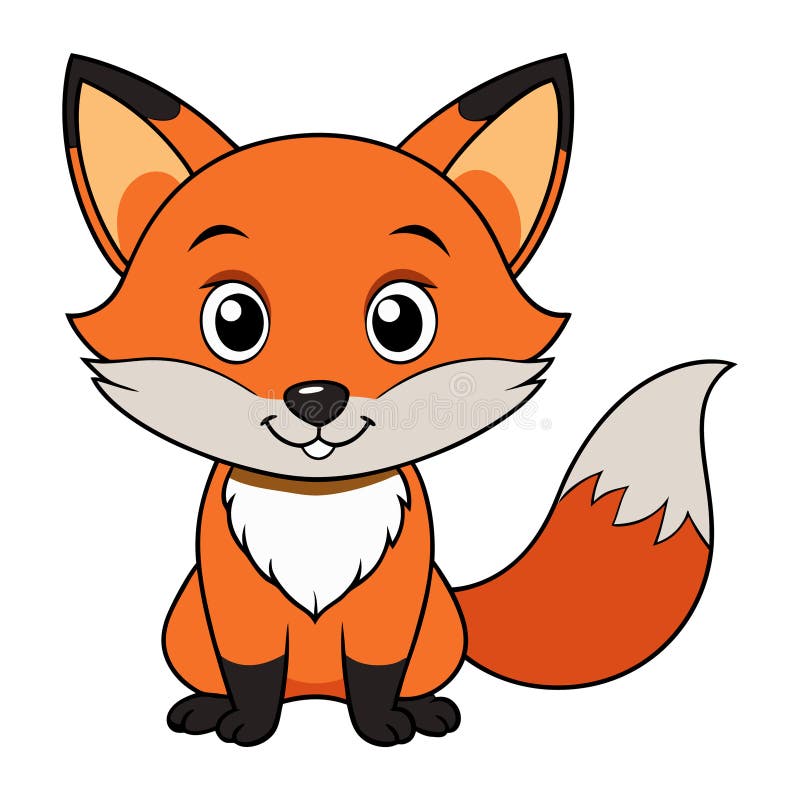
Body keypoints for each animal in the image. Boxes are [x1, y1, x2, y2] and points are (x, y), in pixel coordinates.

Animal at [63, 53, 730, 747]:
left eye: (400, 321)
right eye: (235, 321)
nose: (316, 398)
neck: (317, 509)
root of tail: (315, 693)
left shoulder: (392, 605)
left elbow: (376, 673)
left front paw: (382, 727)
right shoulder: (237, 605)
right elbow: (253, 674)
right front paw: (248, 726)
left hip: (436, 626)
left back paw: (424, 709)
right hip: (185, 624)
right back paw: (207, 706)